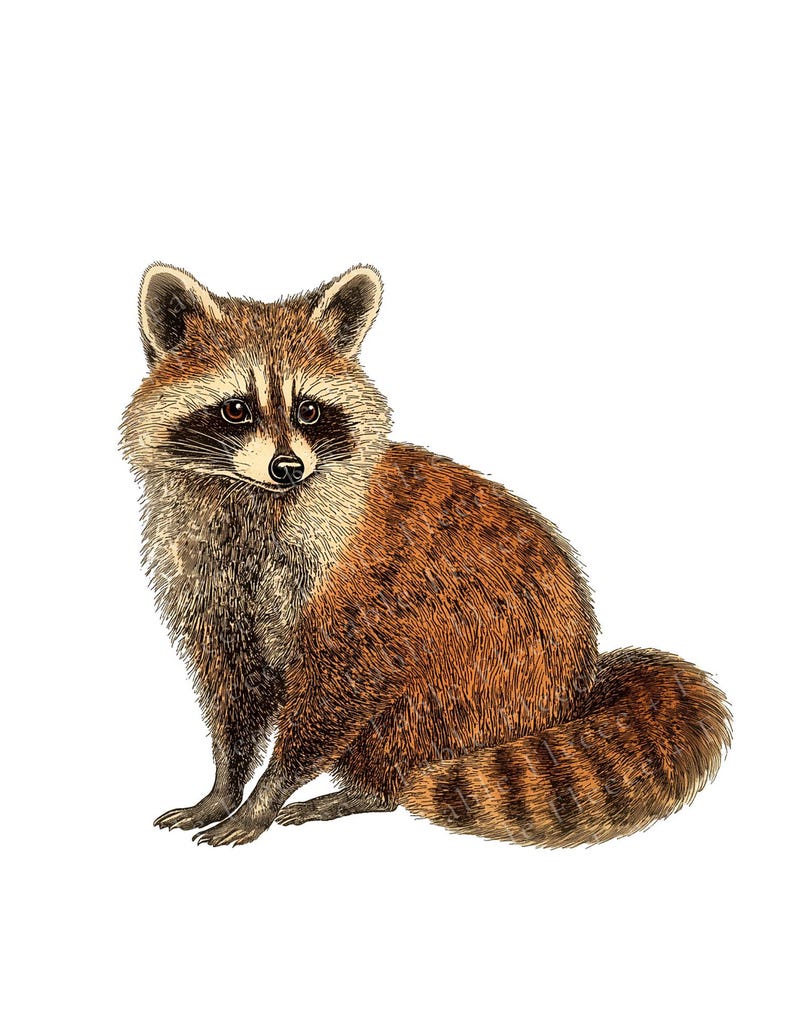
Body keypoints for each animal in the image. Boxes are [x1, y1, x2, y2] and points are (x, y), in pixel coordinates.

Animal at [121, 262, 731, 848]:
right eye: (236, 409)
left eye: (309, 411)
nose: (288, 467)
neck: (253, 498)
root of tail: (573, 693)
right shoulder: (206, 577)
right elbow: (232, 687)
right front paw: (225, 785)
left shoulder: (354, 587)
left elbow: (343, 684)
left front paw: (266, 793)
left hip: (477, 682)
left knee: (409, 720)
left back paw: (367, 790)